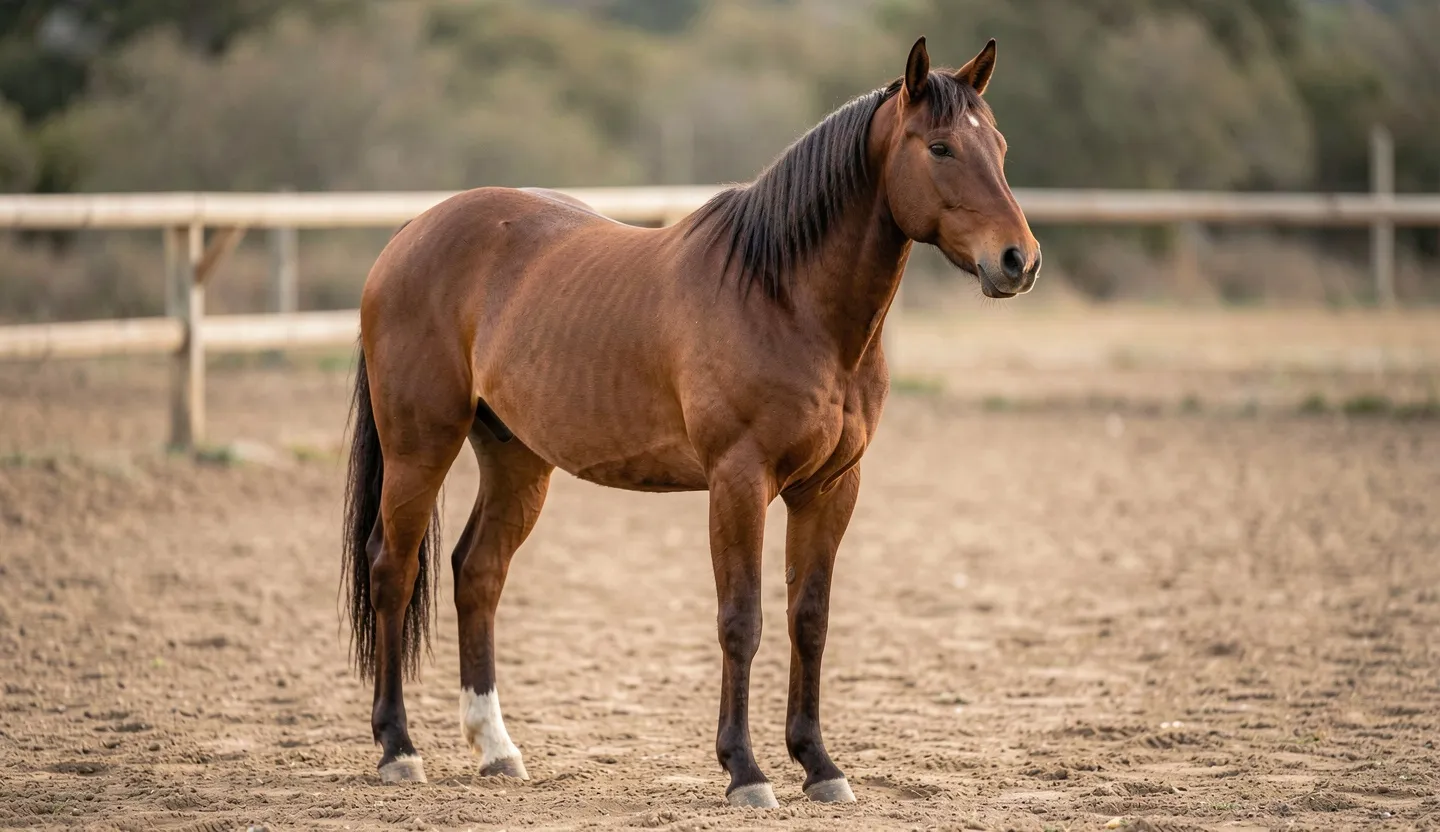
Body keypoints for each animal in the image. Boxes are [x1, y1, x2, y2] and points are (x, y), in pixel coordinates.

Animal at [341, 35, 1039, 808]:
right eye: (940, 147)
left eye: (999, 146)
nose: (1018, 260)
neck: (785, 299)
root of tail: (407, 237)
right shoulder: (739, 481)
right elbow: (742, 621)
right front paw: (746, 771)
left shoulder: (831, 488)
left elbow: (809, 621)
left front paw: (820, 766)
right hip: (419, 447)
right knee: (393, 569)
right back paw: (398, 749)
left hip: (516, 458)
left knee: (478, 572)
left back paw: (497, 750)